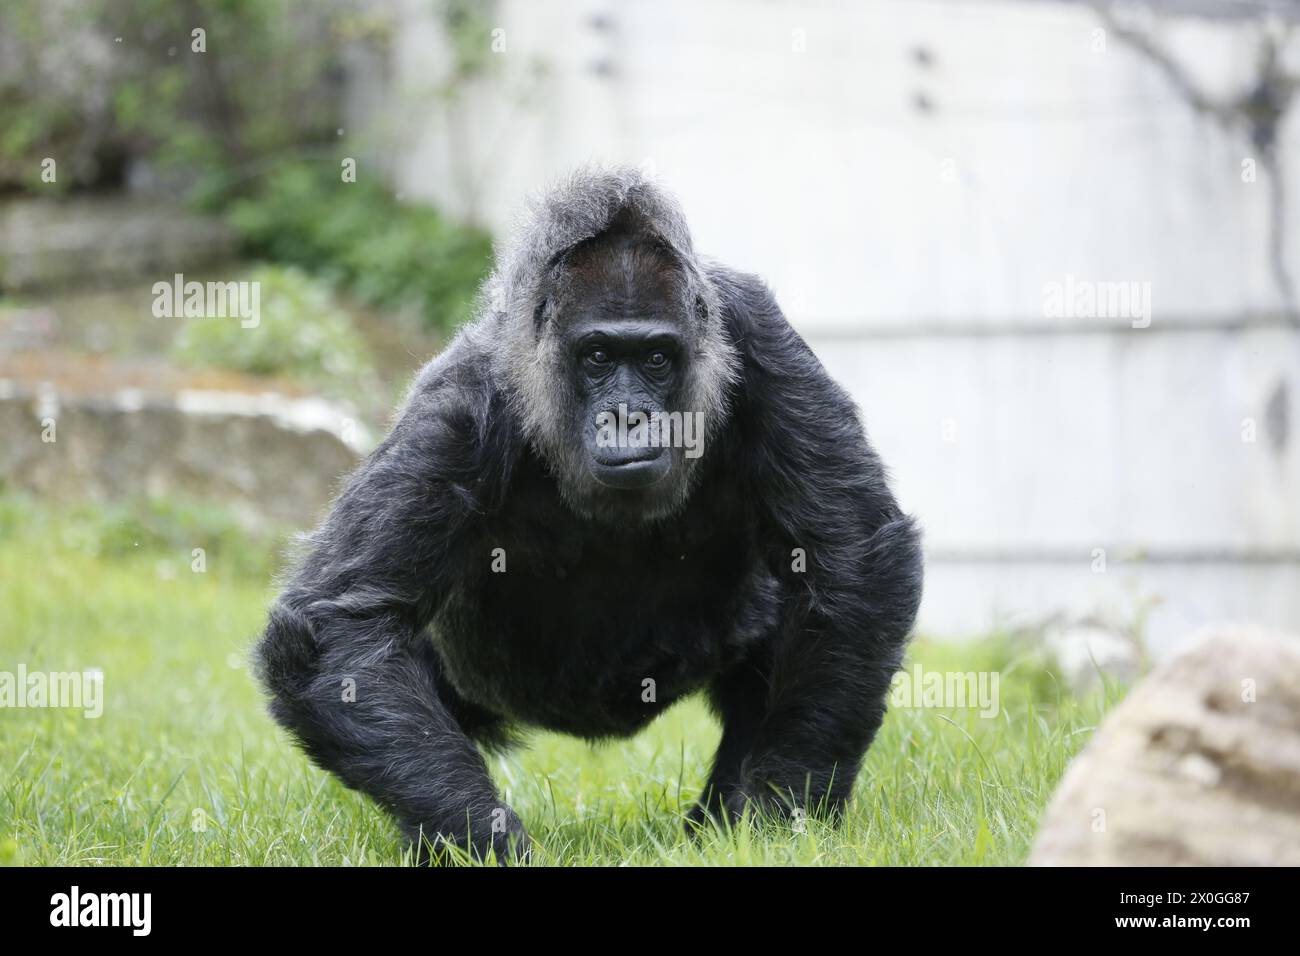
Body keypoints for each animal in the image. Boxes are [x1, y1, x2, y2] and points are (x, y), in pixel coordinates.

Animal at [254, 166, 924, 863]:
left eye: (655, 358)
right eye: (598, 356)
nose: (628, 417)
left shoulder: (759, 334)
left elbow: (851, 558)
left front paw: (781, 814)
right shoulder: (464, 401)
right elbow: (340, 630)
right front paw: (486, 839)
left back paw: (718, 823)